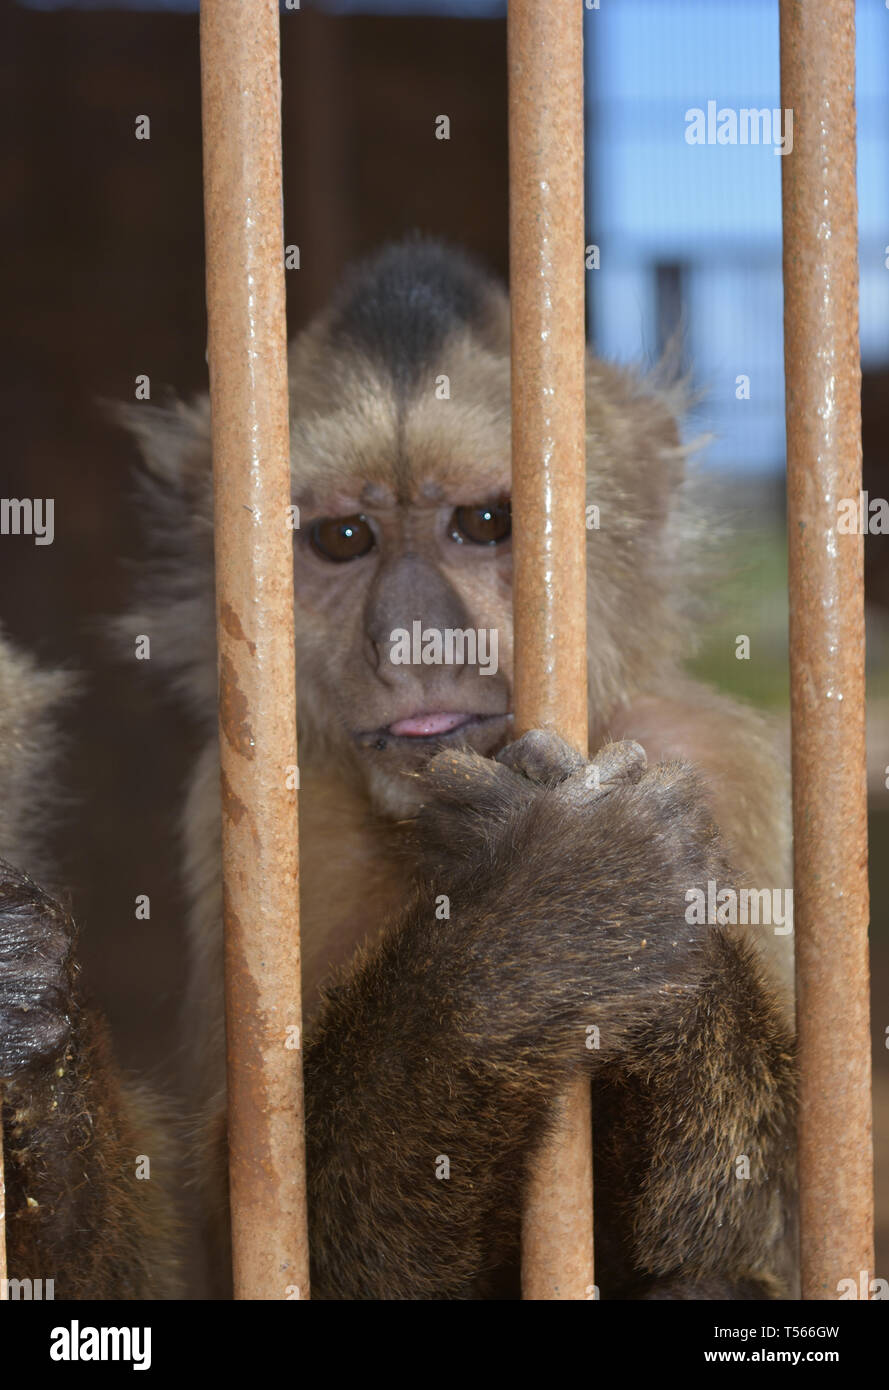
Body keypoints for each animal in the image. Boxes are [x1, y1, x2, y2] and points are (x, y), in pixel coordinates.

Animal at [1, 237, 796, 1299]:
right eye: (344, 539)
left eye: (485, 522)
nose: (410, 635)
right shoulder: (272, 804)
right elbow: (263, 1221)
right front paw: (550, 911)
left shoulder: (707, 752)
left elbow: (774, 1235)